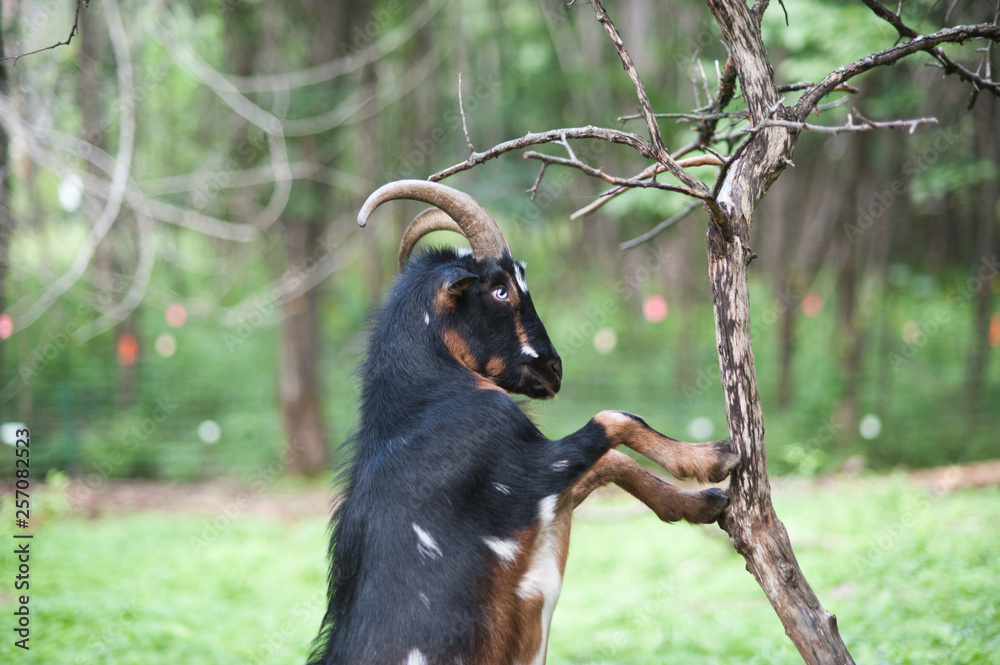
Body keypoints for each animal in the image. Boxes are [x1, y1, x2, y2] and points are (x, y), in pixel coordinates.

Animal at [308, 180, 739, 665]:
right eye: (500, 291)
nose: (554, 369)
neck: (422, 404)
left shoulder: (542, 498)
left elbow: (611, 463)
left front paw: (697, 504)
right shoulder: (524, 473)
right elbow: (614, 421)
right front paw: (711, 459)